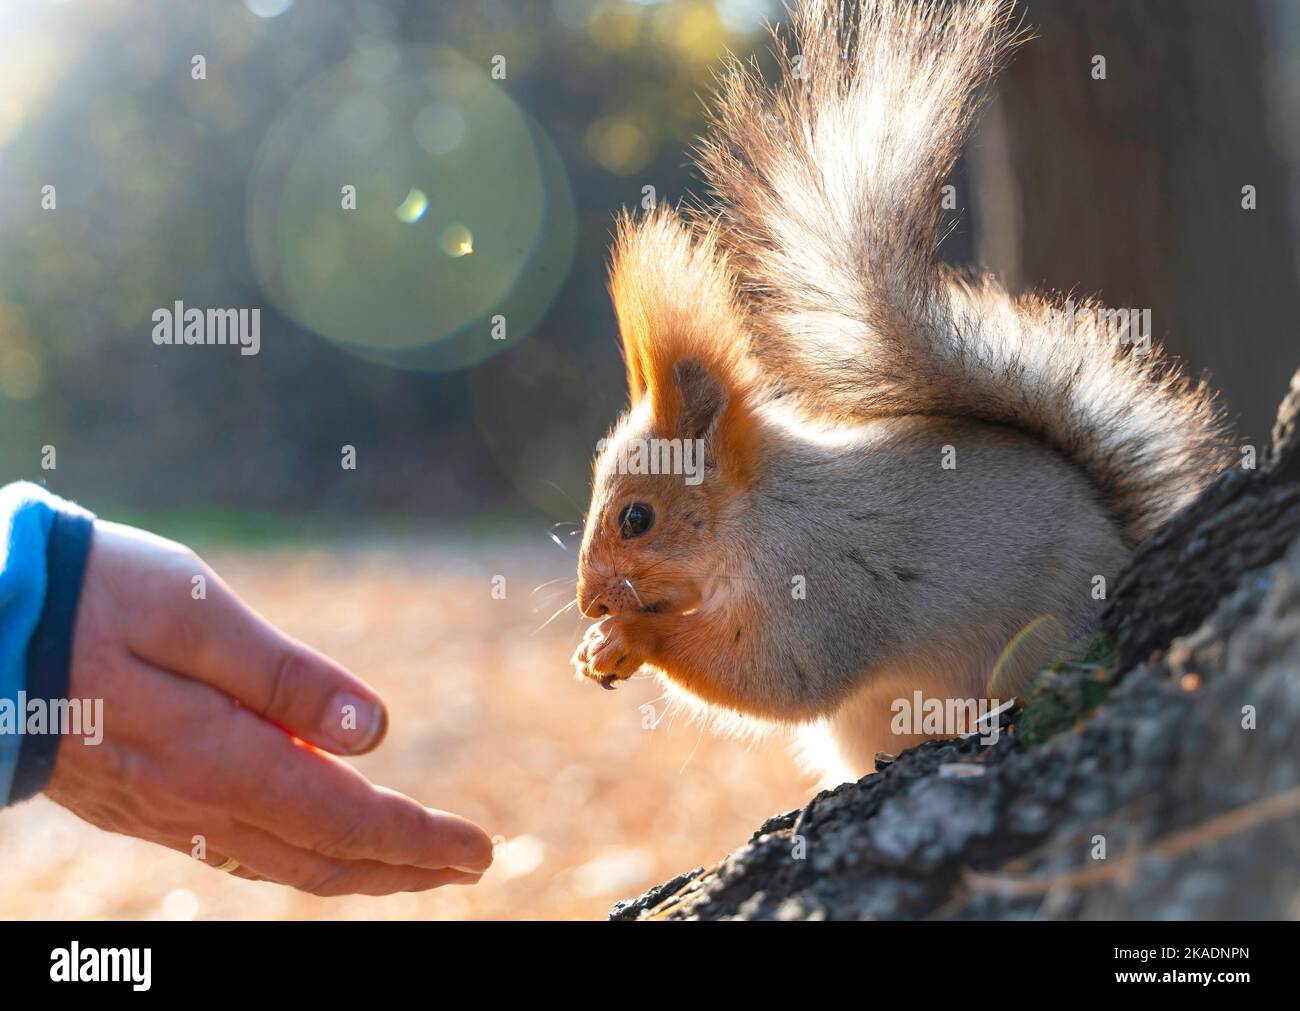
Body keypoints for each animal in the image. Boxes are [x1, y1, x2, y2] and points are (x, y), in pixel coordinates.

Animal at [570, 0, 1234, 783]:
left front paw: (633, 636)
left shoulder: (824, 580)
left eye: (636, 518)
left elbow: (784, 676)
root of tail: (1122, 542)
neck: (760, 516)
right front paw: (600, 645)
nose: (587, 603)